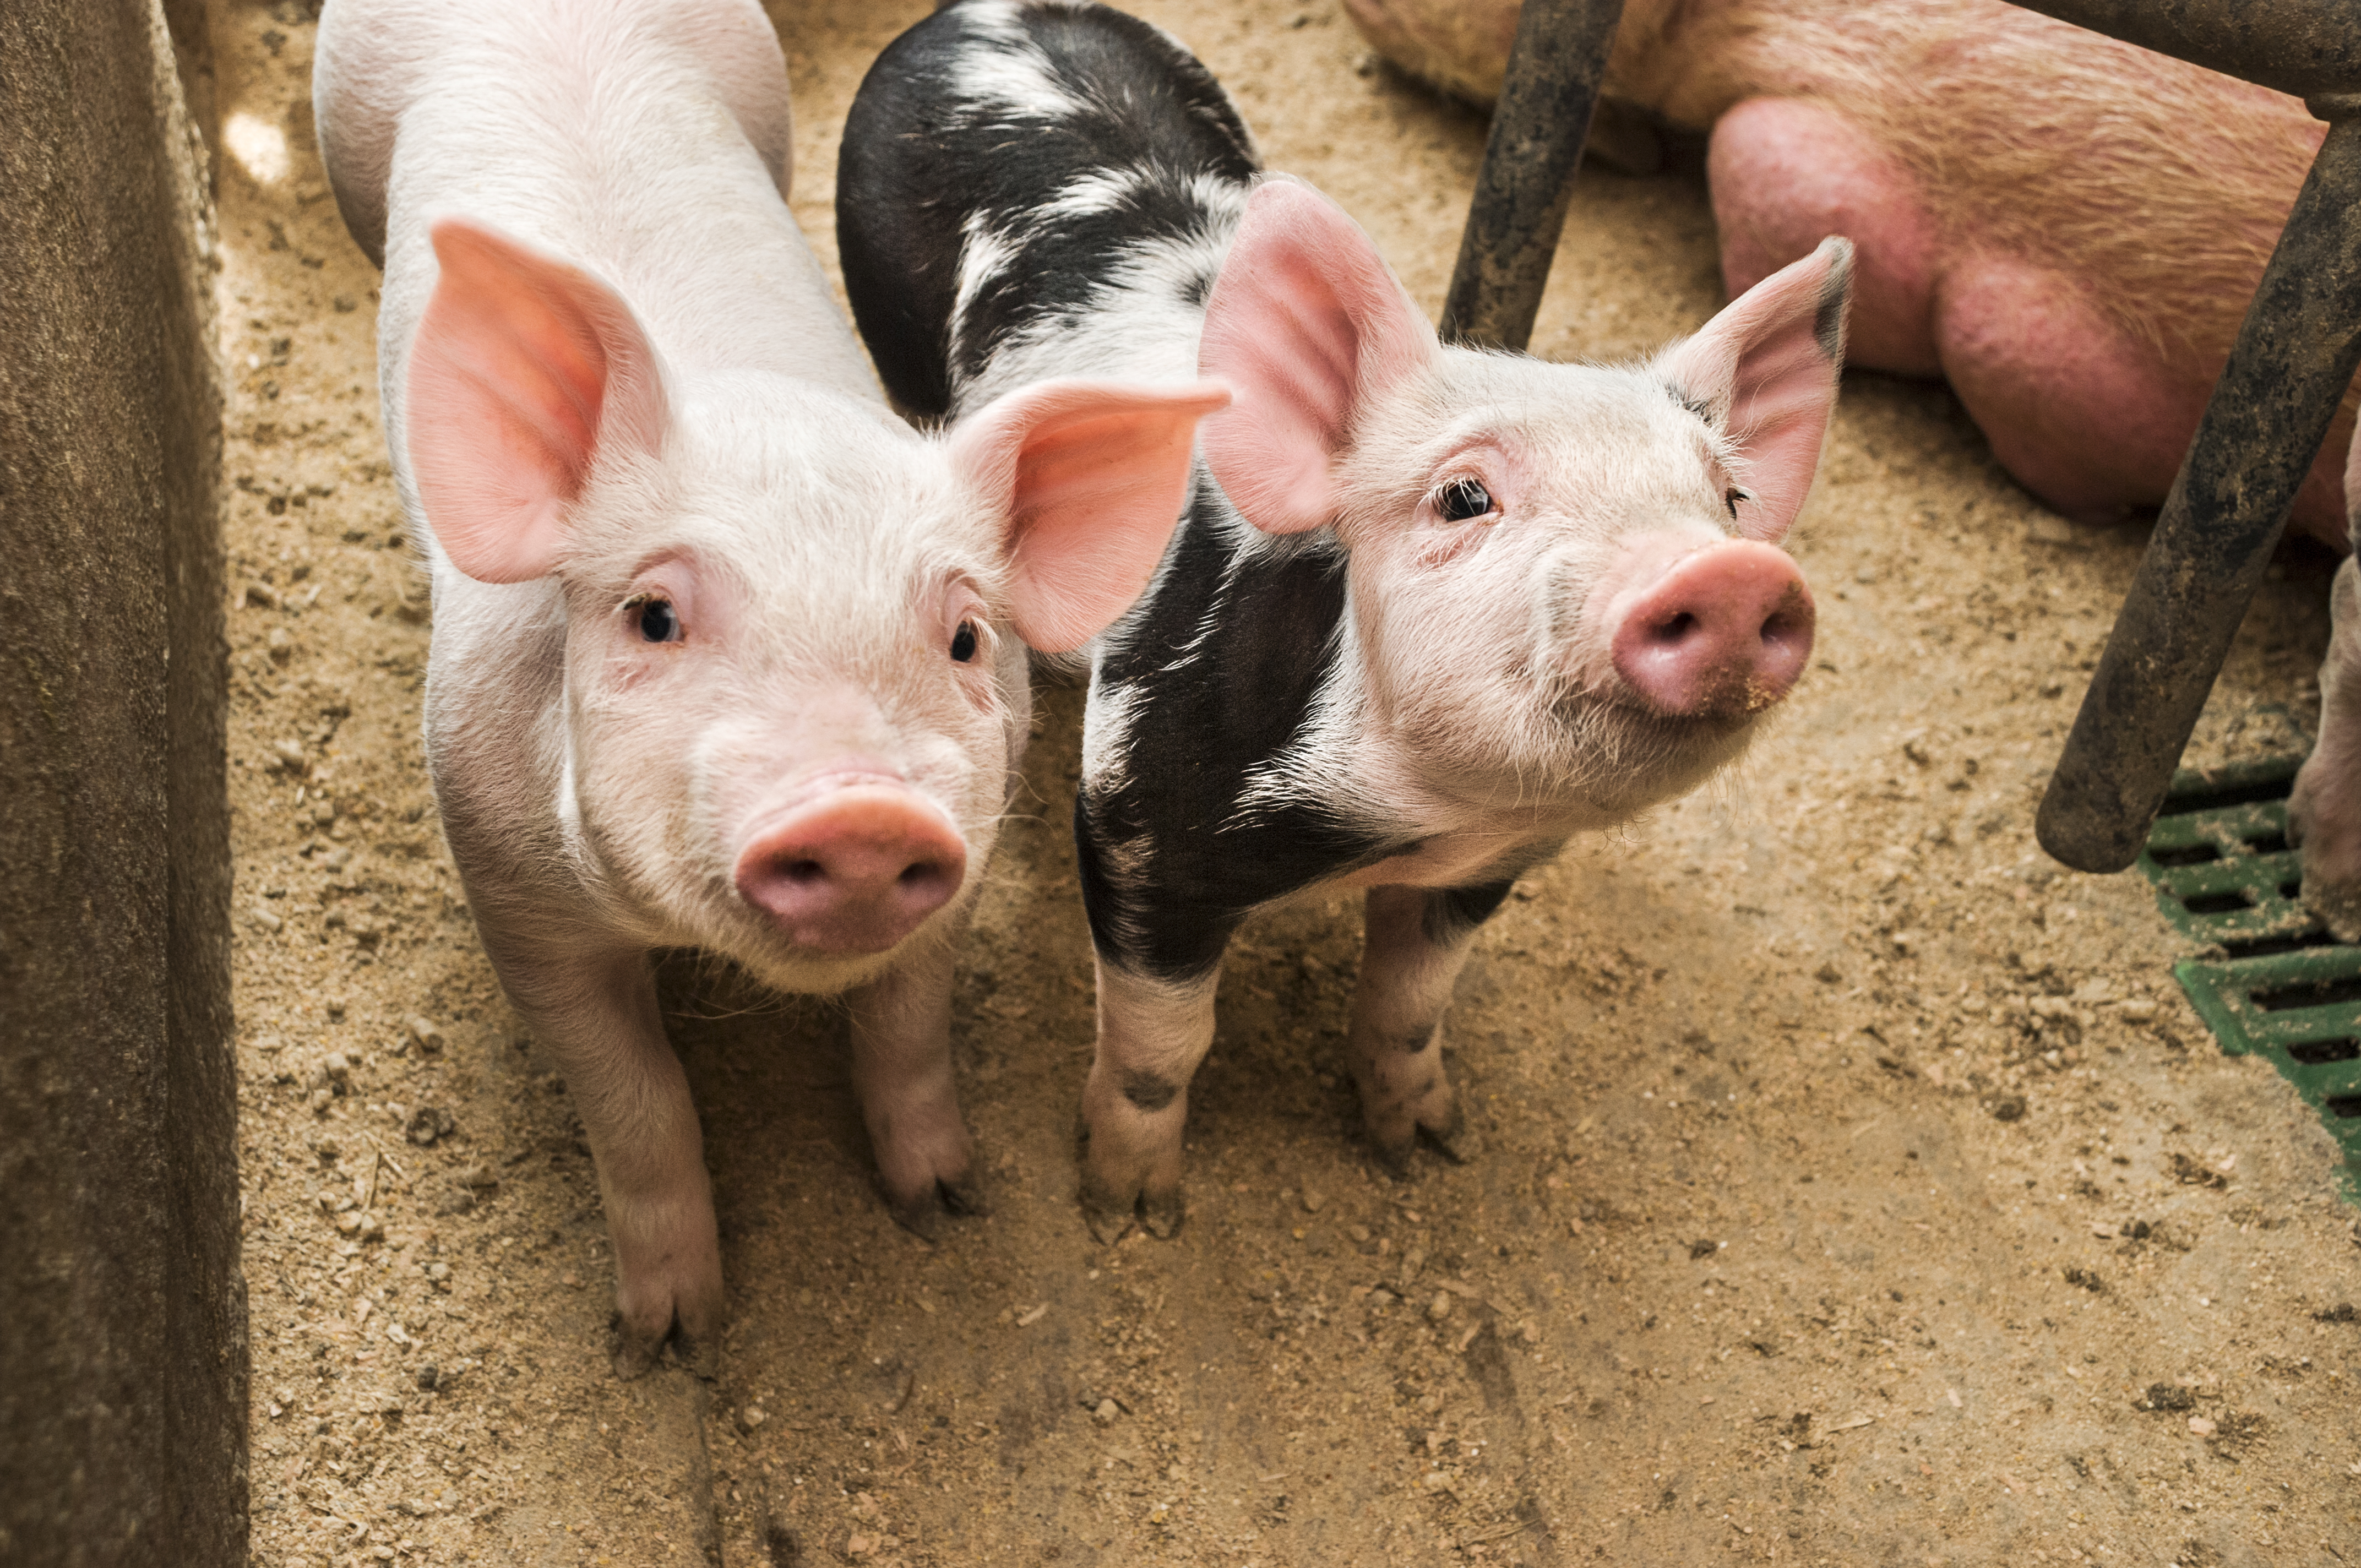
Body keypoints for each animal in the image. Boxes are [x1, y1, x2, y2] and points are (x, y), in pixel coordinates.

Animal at [311, 0, 1225, 1371]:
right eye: (652, 615)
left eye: (964, 637)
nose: (862, 808)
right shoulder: (505, 882)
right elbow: (634, 1100)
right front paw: (667, 1341)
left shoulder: (972, 833)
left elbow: (905, 1030)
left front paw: (943, 1202)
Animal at [836, 0, 1850, 1240]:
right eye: (1461, 496)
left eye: (1730, 500)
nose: (1731, 573)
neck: (1403, 824)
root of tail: (977, 15)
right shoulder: (1134, 833)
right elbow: (1161, 1047)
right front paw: (1131, 1210)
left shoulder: (1488, 863)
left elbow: (1411, 1003)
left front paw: (1425, 1143)